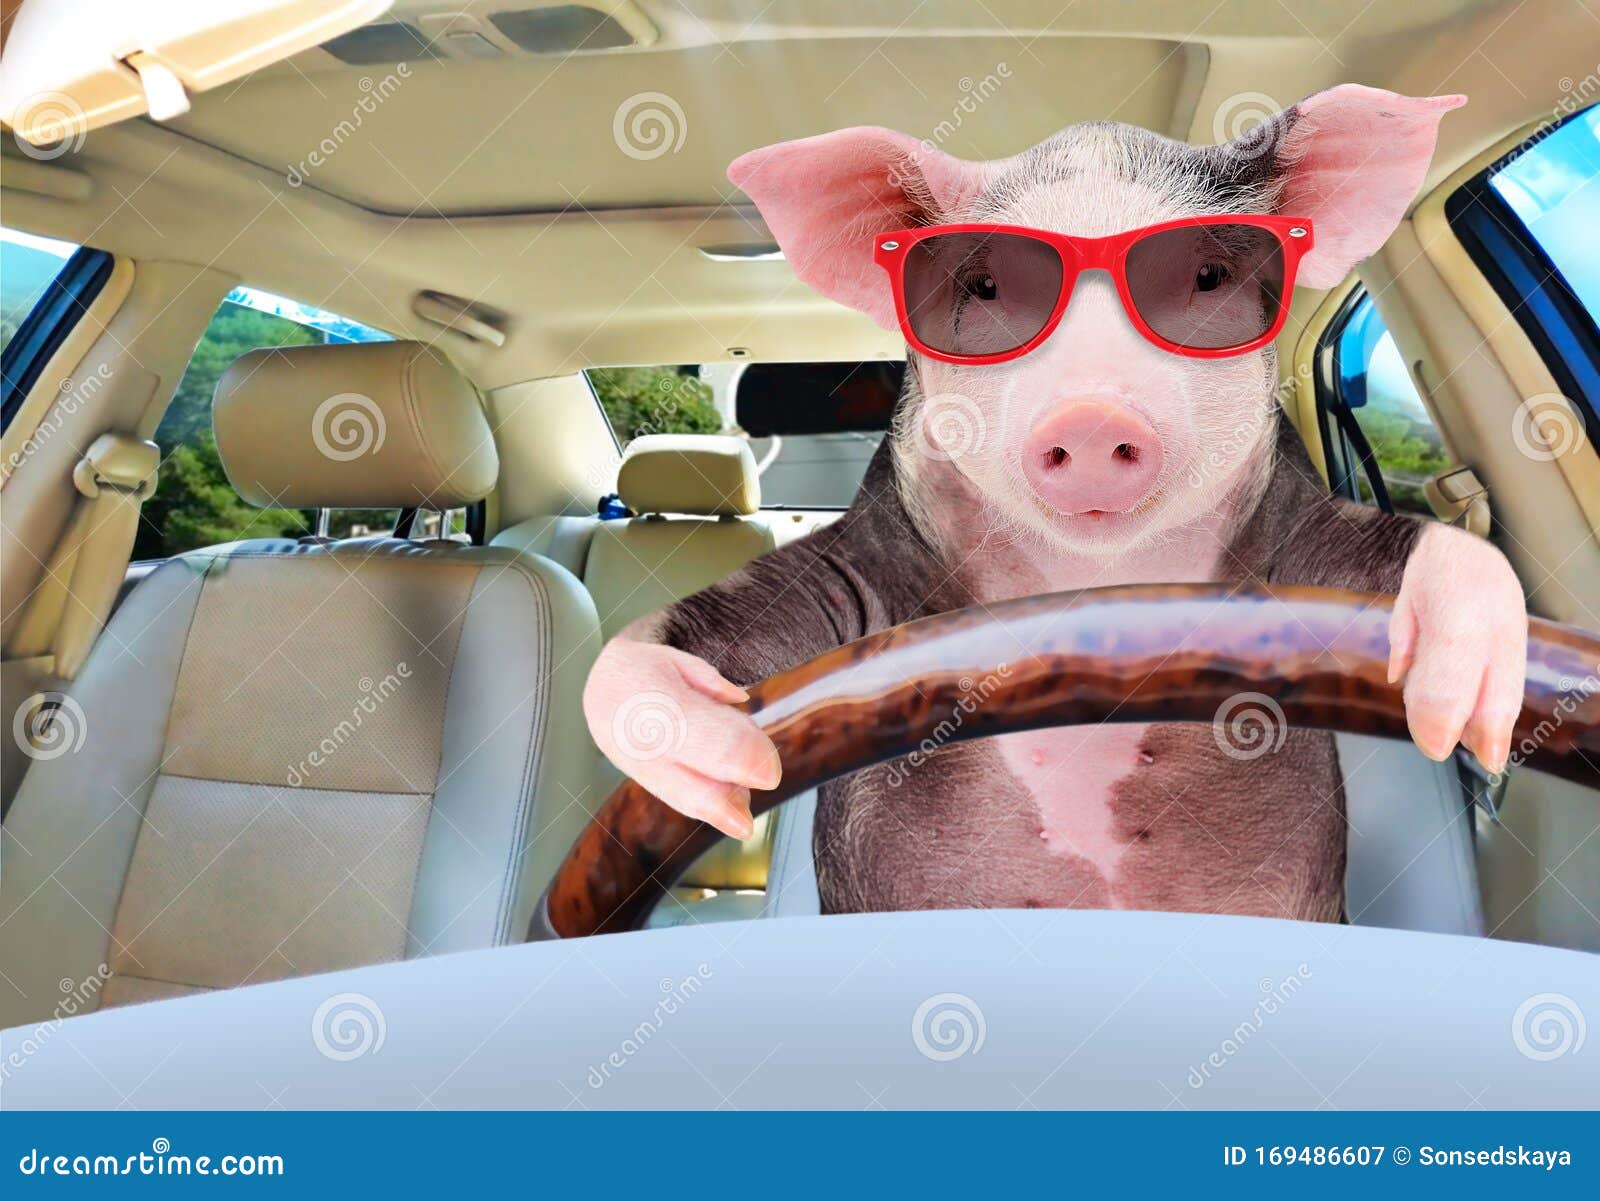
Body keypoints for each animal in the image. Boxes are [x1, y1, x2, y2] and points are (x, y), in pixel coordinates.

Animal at [582, 85, 1529, 922]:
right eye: (985, 288)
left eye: (1208, 274)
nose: (1093, 413)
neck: (1093, 580)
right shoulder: (877, 550)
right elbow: (750, 611)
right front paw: (726, 780)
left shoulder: (1289, 527)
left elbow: (1386, 550)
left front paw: (1469, 714)